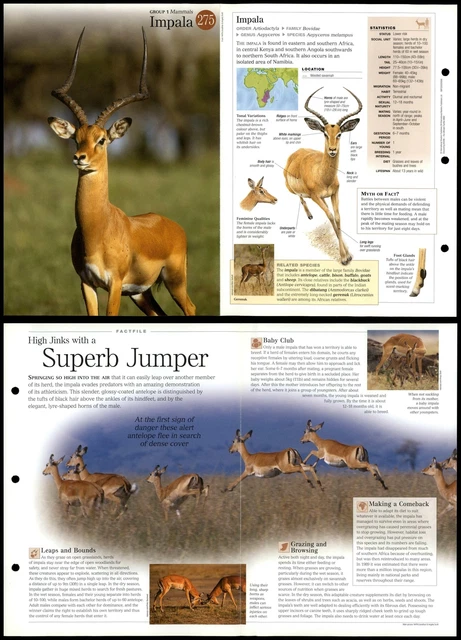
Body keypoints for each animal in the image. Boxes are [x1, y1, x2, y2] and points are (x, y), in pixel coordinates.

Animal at [48, 28, 195, 316]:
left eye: (102, 140)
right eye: (76, 139)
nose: (79, 158)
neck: (97, 229)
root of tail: (173, 225)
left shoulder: (114, 285)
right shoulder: (87, 284)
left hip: (175, 282)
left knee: (191, 308)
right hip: (141, 294)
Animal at [284, 87, 362, 265]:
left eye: (339, 133)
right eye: (325, 133)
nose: (332, 150)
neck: (323, 177)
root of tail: (295, 153)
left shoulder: (335, 193)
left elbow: (337, 217)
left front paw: (348, 255)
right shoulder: (315, 196)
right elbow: (330, 216)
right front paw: (344, 257)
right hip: (295, 191)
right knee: (301, 198)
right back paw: (309, 215)